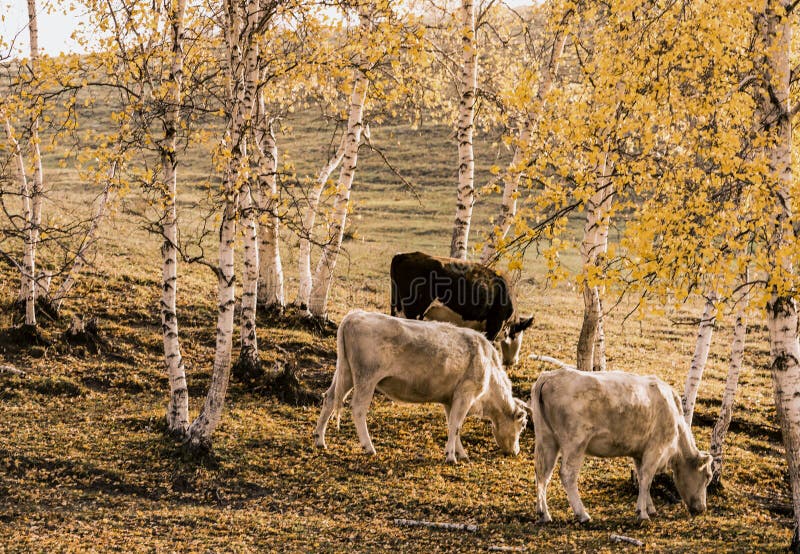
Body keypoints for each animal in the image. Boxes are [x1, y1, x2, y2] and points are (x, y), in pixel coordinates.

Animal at [314, 310, 528, 463]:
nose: (516, 452)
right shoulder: (465, 394)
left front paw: (460, 453)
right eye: (523, 425)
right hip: (366, 379)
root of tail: (354, 315)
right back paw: (369, 447)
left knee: (329, 399)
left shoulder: (451, 399)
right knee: (358, 409)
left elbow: (453, 425)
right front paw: (451, 457)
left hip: (346, 374)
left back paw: (320, 440)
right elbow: (456, 425)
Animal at [390, 251, 533, 365]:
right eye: (519, 334)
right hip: (414, 311)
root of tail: (402, 255)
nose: (514, 361)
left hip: (397, 307)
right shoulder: (495, 324)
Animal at [530, 368, 712, 522]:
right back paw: (582, 514)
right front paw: (643, 513)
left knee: (542, 473)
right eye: (707, 476)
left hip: (546, 439)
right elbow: (647, 478)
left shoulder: (640, 453)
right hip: (575, 443)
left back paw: (543, 513)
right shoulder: (656, 449)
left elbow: (641, 477)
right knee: (567, 474)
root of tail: (550, 376)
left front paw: (649, 508)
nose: (702, 509)